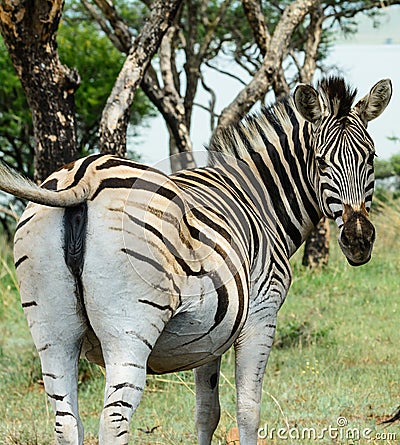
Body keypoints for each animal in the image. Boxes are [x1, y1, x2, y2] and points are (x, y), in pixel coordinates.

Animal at [0, 74, 392, 442]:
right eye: (321, 162)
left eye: (371, 157)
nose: (358, 239)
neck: (259, 201)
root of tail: (84, 175)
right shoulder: (261, 314)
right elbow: (248, 410)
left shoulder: (210, 334)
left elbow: (207, 412)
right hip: (129, 329)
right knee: (113, 422)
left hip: (52, 331)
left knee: (65, 422)